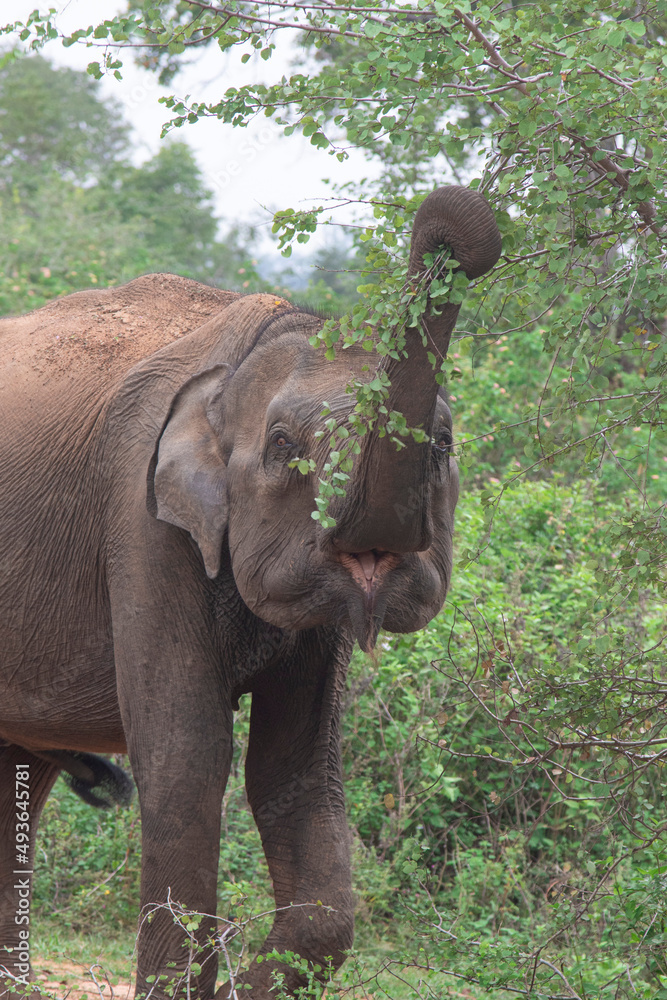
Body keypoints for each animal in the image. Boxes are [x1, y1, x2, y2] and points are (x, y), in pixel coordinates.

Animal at [0, 185, 501, 999]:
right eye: (283, 447)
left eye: (445, 446)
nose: (450, 237)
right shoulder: (141, 518)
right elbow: (186, 757)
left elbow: (294, 771)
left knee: (23, 770)